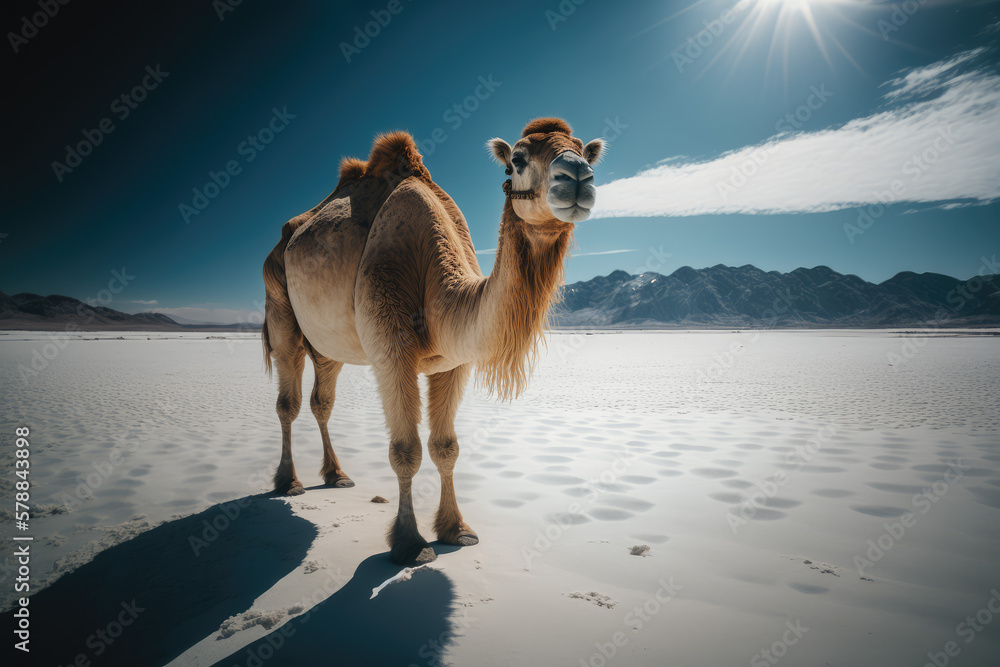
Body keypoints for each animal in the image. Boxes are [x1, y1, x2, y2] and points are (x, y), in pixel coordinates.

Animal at [261, 118, 603, 564]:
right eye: (516, 159)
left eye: (586, 152)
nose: (577, 175)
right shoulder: (390, 349)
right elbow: (405, 450)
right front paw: (409, 543)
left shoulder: (454, 362)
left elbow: (445, 447)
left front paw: (456, 530)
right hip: (279, 304)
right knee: (288, 401)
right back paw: (289, 482)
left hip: (327, 342)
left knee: (322, 400)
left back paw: (336, 475)